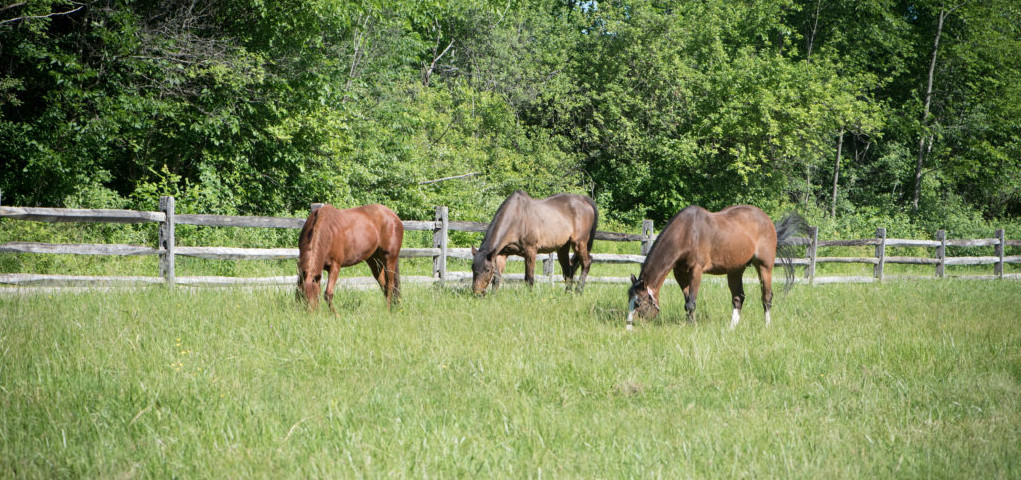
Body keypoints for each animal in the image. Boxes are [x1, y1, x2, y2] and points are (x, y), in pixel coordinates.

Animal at [626, 205, 807, 330]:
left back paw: (767, 325)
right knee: (738, 298)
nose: (629, 326)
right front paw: (690, 323)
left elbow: (691, 302)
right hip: (735, 270)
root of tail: (768, 220)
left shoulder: (696, 271)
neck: (687, 233)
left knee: (767, 297)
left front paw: (692, 327)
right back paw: (732, 327)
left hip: (764, 267)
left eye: (639, 303)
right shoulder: (679, 273)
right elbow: (687, 300)